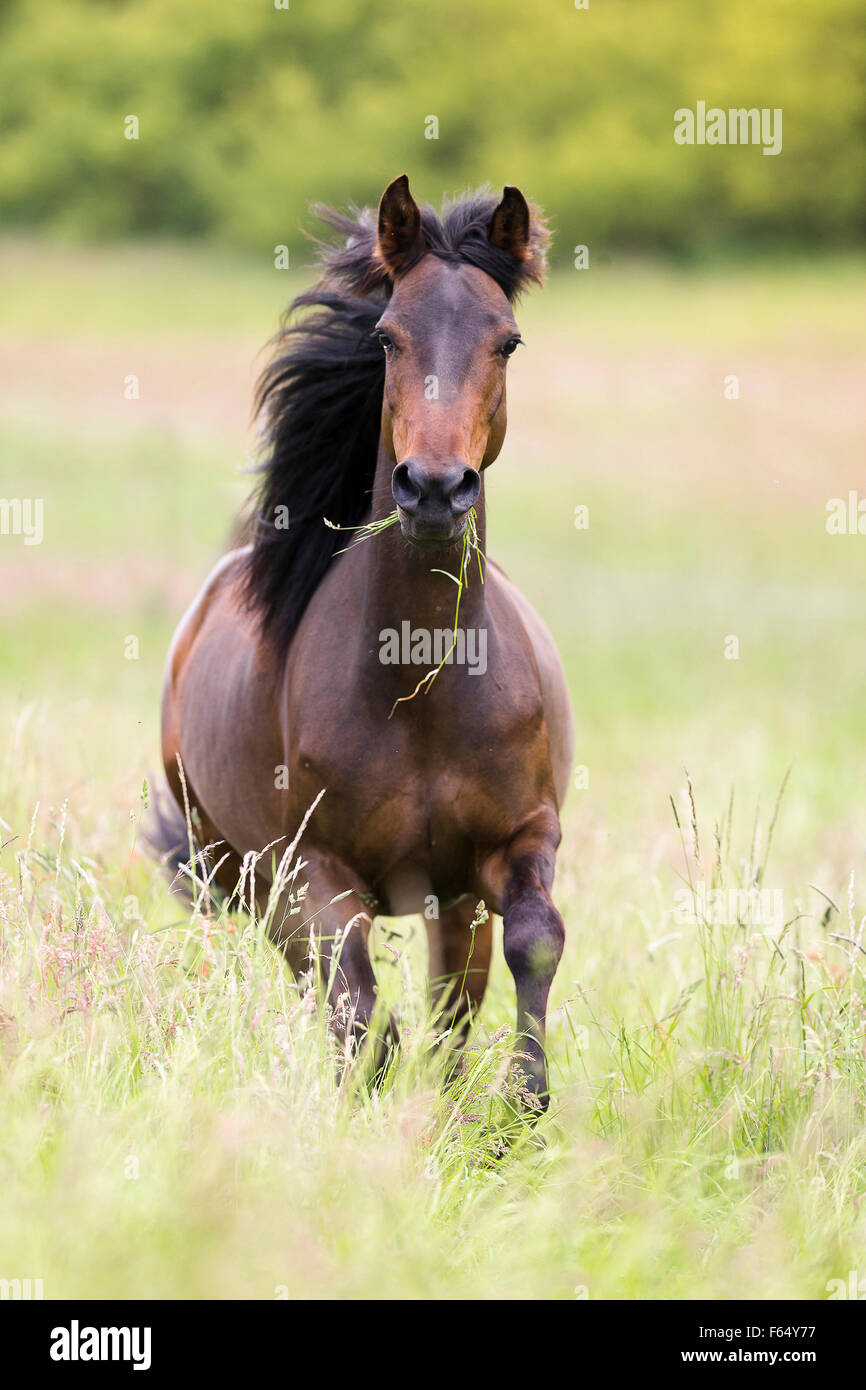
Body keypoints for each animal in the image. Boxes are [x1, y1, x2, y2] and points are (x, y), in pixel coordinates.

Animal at [158, 175, 573, 1104]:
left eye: (509, 341)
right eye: (386, 337)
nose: (434, 490)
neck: (416, 686)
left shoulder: (515, 844)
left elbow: (532, 943)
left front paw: (520, 1105)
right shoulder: (317, 875)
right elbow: (363, 1019)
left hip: (451, 903)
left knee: (453, 1004)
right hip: (250, 877)